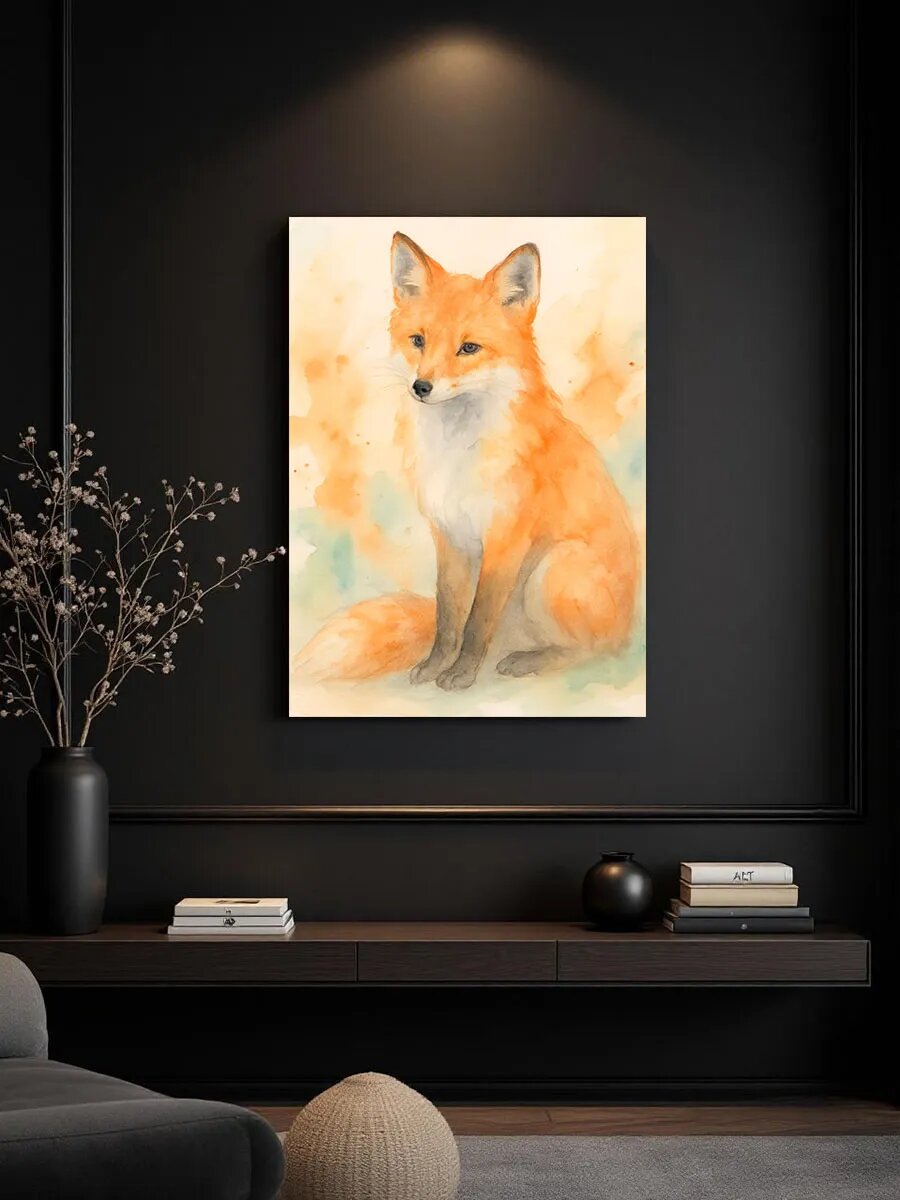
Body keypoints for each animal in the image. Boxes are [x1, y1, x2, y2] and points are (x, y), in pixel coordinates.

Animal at [293, 232, 640, 692]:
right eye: (418, 341)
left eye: (469, 348)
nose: (421, 386)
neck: (457, 452)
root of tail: (629, 627)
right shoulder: (450, 536)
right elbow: (448, 617)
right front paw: (435, 666)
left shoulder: (504, 541)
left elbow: (478, 621)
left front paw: (461, 674)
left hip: (551, 571)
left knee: (590, 650)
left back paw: (530, 660)